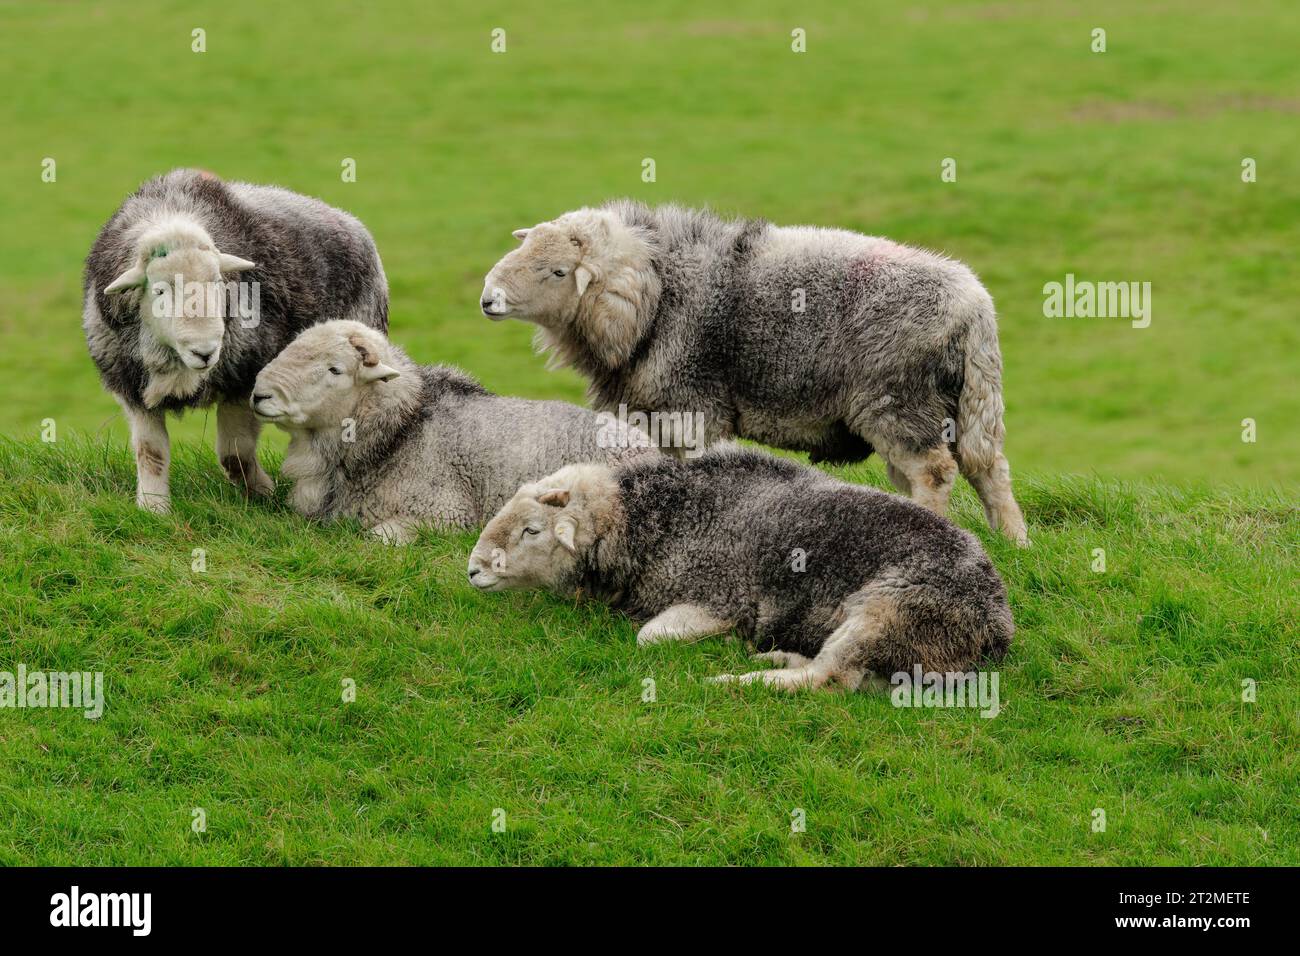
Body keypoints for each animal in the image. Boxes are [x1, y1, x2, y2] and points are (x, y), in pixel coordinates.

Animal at [82, 168, 389, 513]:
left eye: (218, 282)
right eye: (159, 290)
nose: (205, 352)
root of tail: (347, 219)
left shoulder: (243, 377)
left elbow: (235, 453)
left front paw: (261, 492)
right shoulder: (131, 387)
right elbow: (151, 452)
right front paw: (153, 507)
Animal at [467, 446, 1013, 692]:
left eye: (531, 530)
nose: (473, 570)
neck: (650, 518)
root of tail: (997, 626)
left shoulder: (719, 596)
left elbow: (649, 638)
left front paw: (724, 640)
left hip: (890, 610)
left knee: (829, 680)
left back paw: (738, 679)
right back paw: (780, 656)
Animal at [480, 200, 1030, 545]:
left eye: (557, 271)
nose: (488, 300)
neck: (655, 294)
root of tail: (976, 308)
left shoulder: (695, 406)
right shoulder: (661, 415)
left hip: (900, 402)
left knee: (934, 472)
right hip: (968, 403)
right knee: (987, 466)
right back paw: (1014, 540)